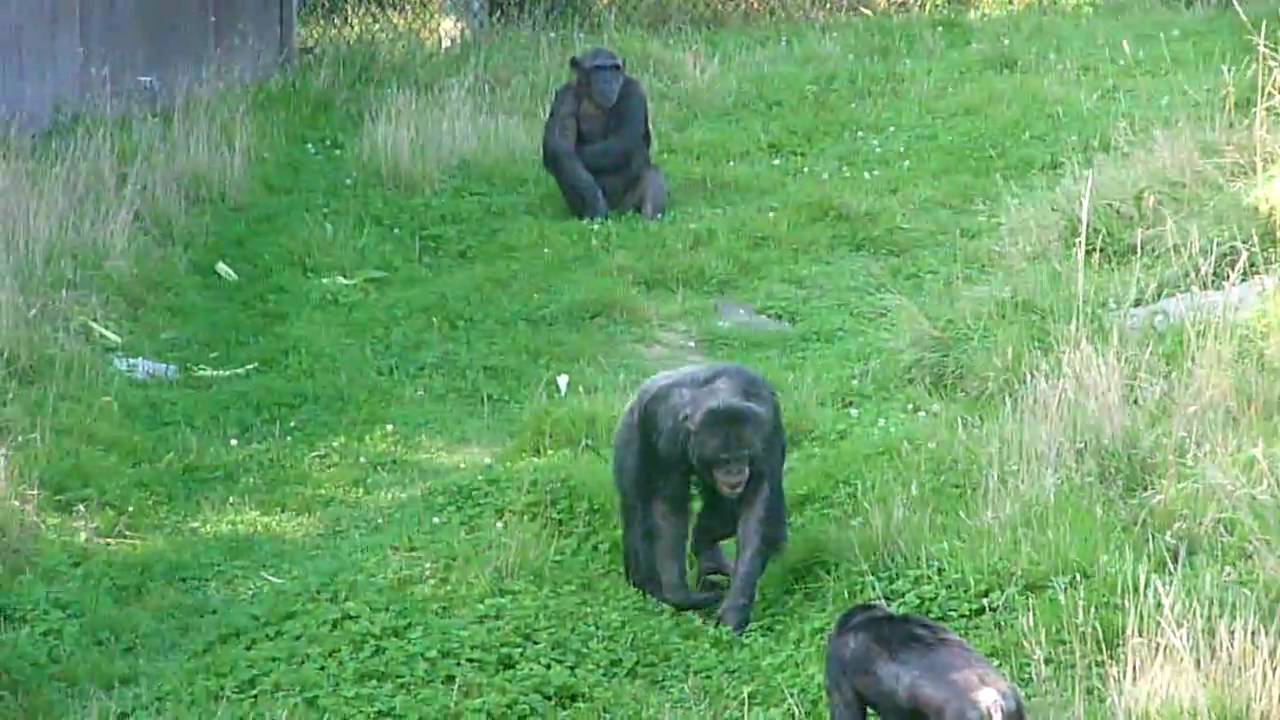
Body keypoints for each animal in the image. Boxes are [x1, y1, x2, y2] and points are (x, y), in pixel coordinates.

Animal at [541, 47, 667, 220]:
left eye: (614, 68)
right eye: (598, 69)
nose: (608, 80)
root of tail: (617, 214)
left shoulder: (634, 92)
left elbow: (622, 141)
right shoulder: (564, 97)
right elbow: (561, 148)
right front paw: (594, 200)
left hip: (628, 207)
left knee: (653, 174)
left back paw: (649, 219)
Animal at [611, 363, 787, 635]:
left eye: (742, 455)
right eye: (723, 459)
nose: (735, 472)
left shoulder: (765, 432)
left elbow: (758, 506)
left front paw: (734, 610)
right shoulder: (668, 433)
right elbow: (667, 507)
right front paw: (679, 595)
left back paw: (708, 556)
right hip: (629, 432)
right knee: (635, 510)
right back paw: (647, 588)